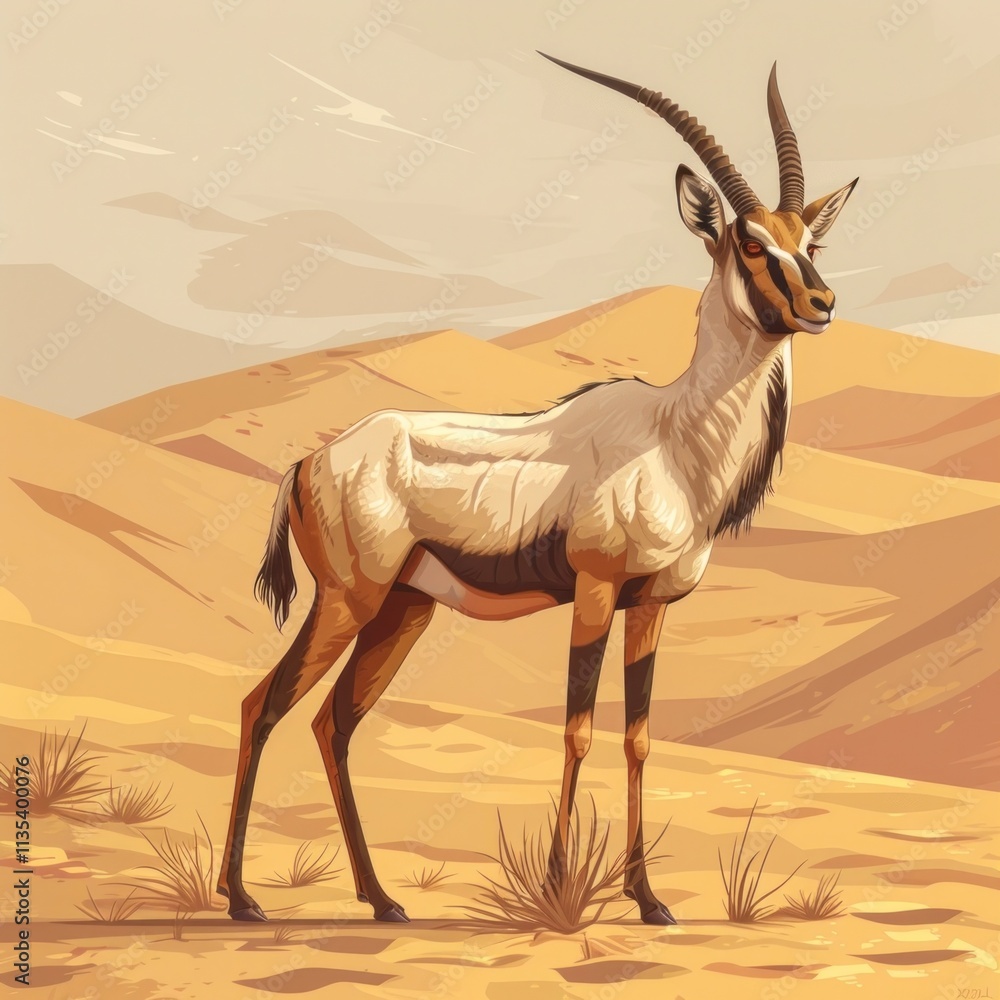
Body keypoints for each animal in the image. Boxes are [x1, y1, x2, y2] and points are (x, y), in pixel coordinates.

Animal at [217, 53, 857, 926]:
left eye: (809, 240)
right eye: (752, 244)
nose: (822, 304)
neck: (675, 434)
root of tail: (311, 460)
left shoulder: (650, 605)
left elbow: (638, 736)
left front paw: (650, 900)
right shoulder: (594, 590)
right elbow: (577, 729)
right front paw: (559, 891)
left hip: (401, 612)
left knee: (332, 722)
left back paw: (381, 900)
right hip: (349, 601)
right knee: (266, 704)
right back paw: (241, 897)